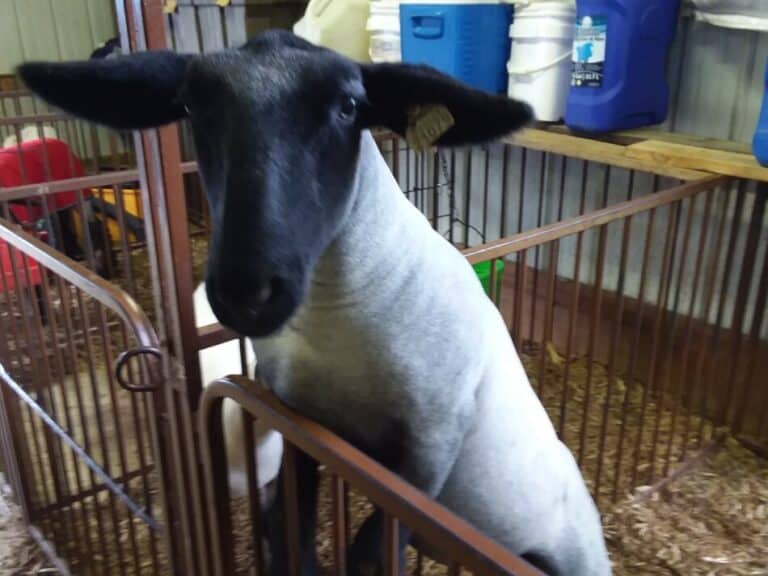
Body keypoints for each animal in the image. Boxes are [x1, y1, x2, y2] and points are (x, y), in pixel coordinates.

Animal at [18, 30, 612, 576]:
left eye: (349, 107)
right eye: (189, 106)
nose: (247, 291)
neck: (338, 318)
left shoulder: (432, 442)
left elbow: (371, 555)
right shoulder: (299, 423)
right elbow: (290, 536)